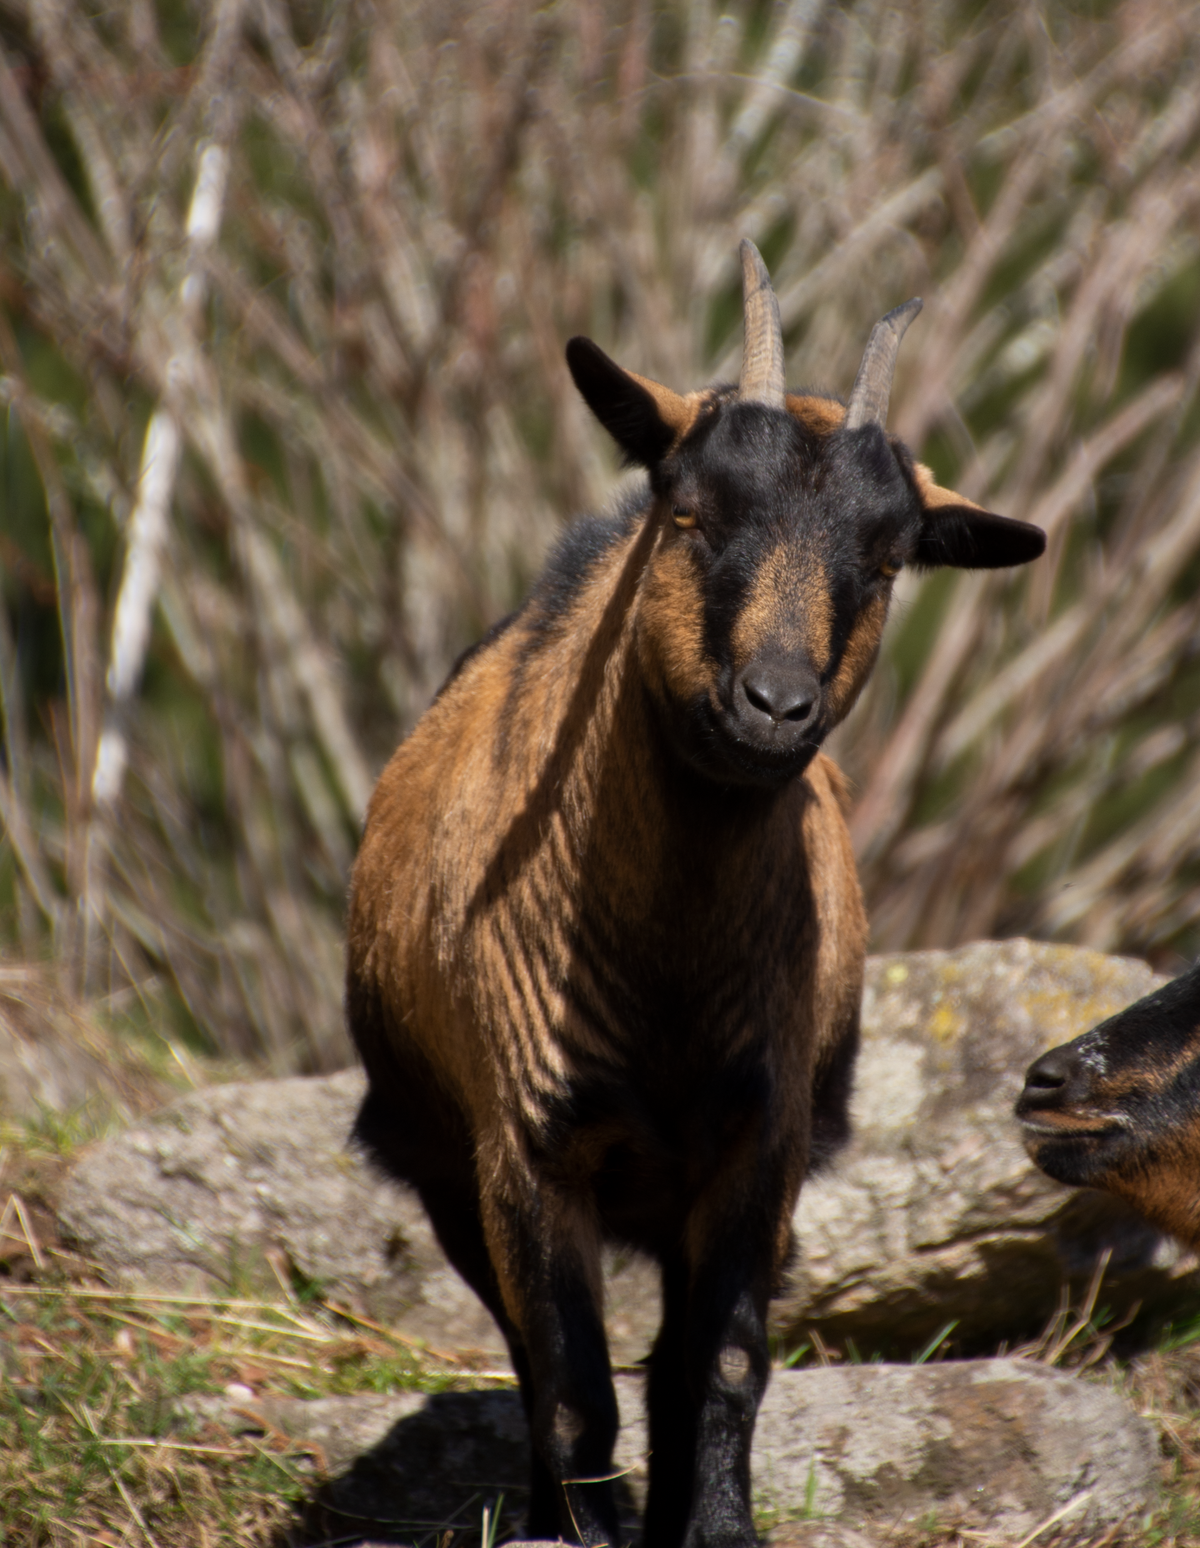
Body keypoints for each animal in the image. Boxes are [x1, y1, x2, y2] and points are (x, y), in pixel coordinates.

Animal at [346, 242, 1046, 1548]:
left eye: (887, 561)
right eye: (690, 513)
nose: (773, 706)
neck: (665, 972)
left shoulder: (758, 1144)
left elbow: (717, 1367)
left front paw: (719, 1531)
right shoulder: (526, 1149)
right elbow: (572, 1388)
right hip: (442, 1167)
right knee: (535, 1366)